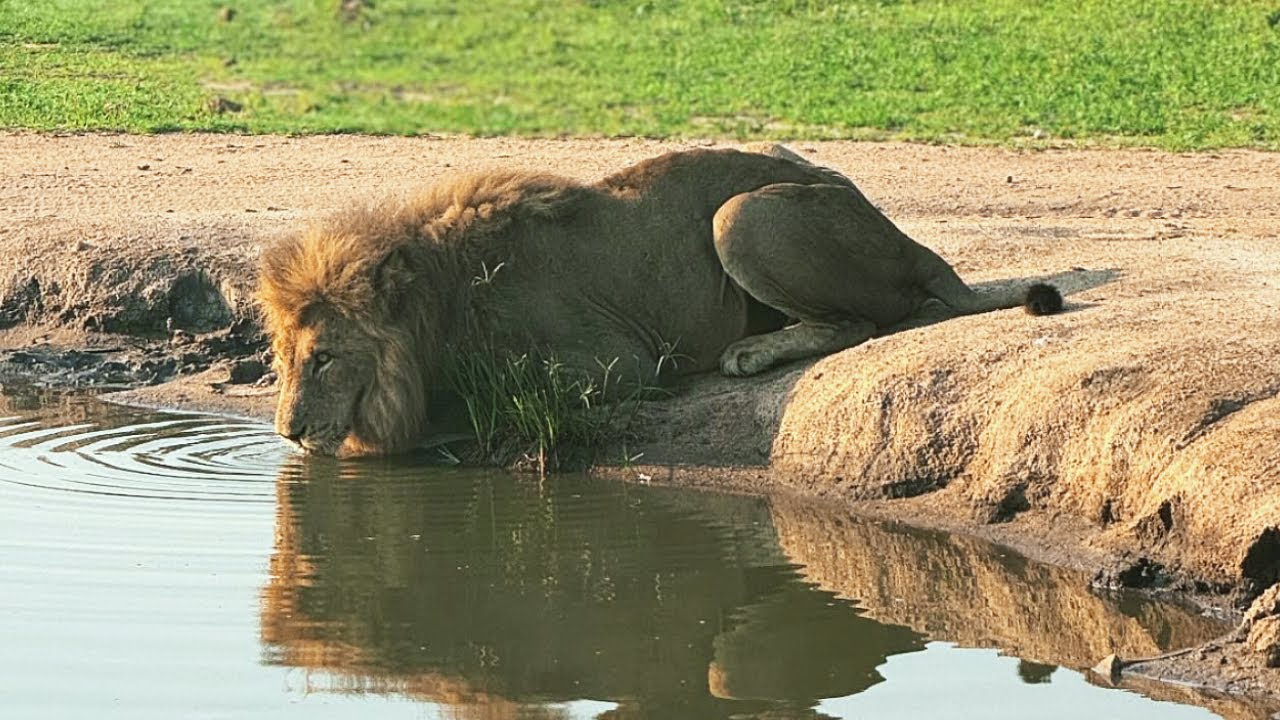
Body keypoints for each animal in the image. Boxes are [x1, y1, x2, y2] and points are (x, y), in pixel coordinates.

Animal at [257, 145, 1063, 457]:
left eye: (324, 359)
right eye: (285, 360)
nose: (287, 434)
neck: (442, 296)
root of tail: (901, 234)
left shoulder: (620, 364)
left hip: (739, 214)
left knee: (856, 321)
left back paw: (748, 353)